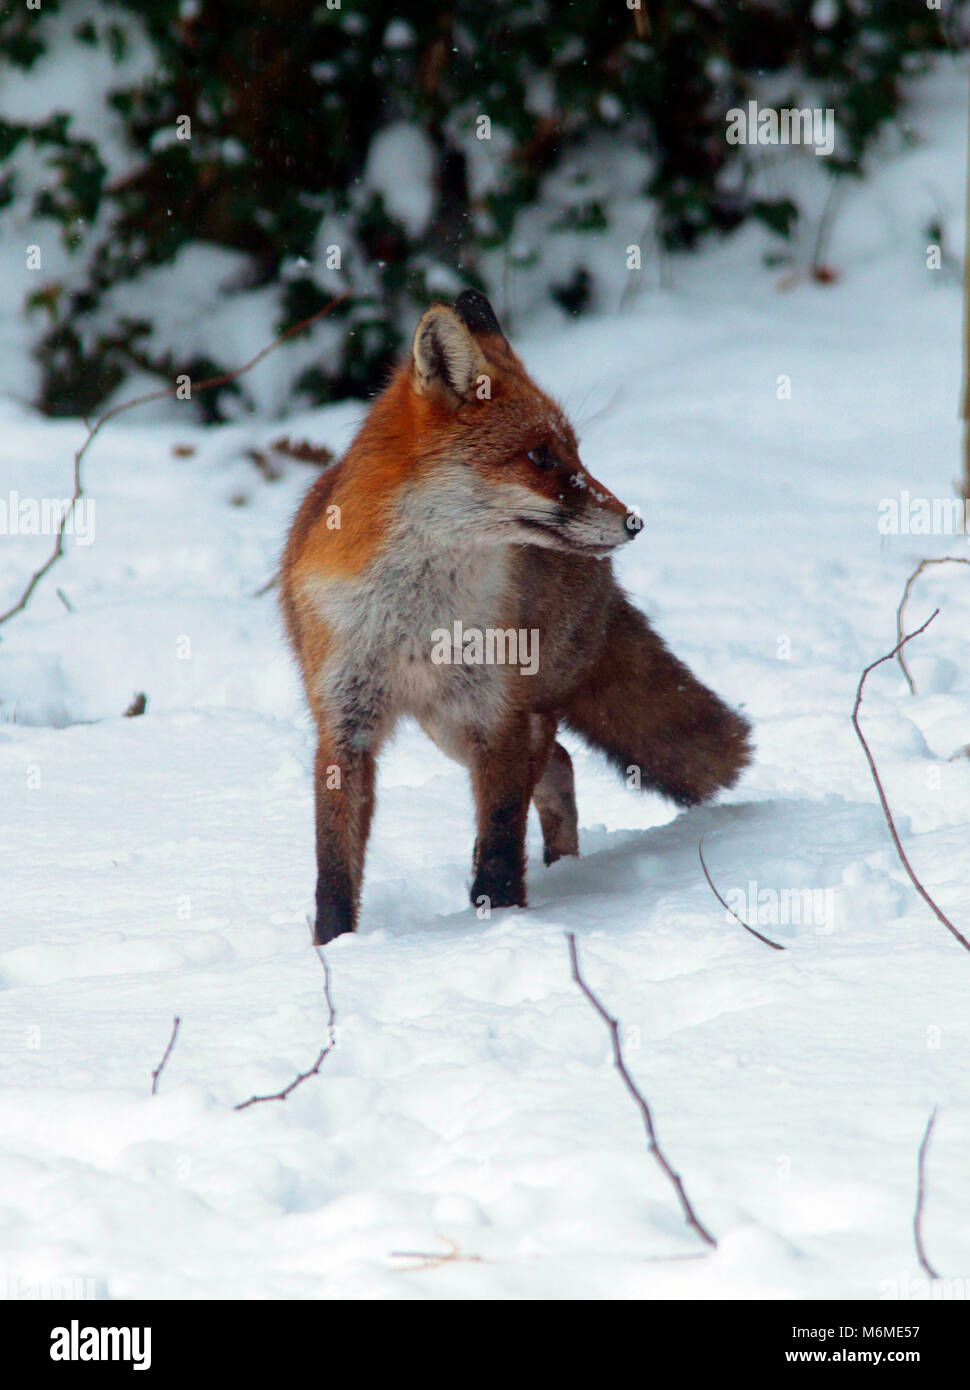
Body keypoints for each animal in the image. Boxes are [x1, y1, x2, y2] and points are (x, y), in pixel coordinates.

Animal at [280, 290, 751, 944]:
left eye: (575, 451)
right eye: (539, 456)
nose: (634, 522)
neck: (414, 617)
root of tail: (603, 585)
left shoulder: (495, 714)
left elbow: (502, 839)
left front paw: (496, 922)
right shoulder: (343, 723)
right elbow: (334, 866)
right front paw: (335, 948)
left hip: (494, 714)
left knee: (553, 767)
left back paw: (560, 872)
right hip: (448, 728)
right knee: (559, 764)